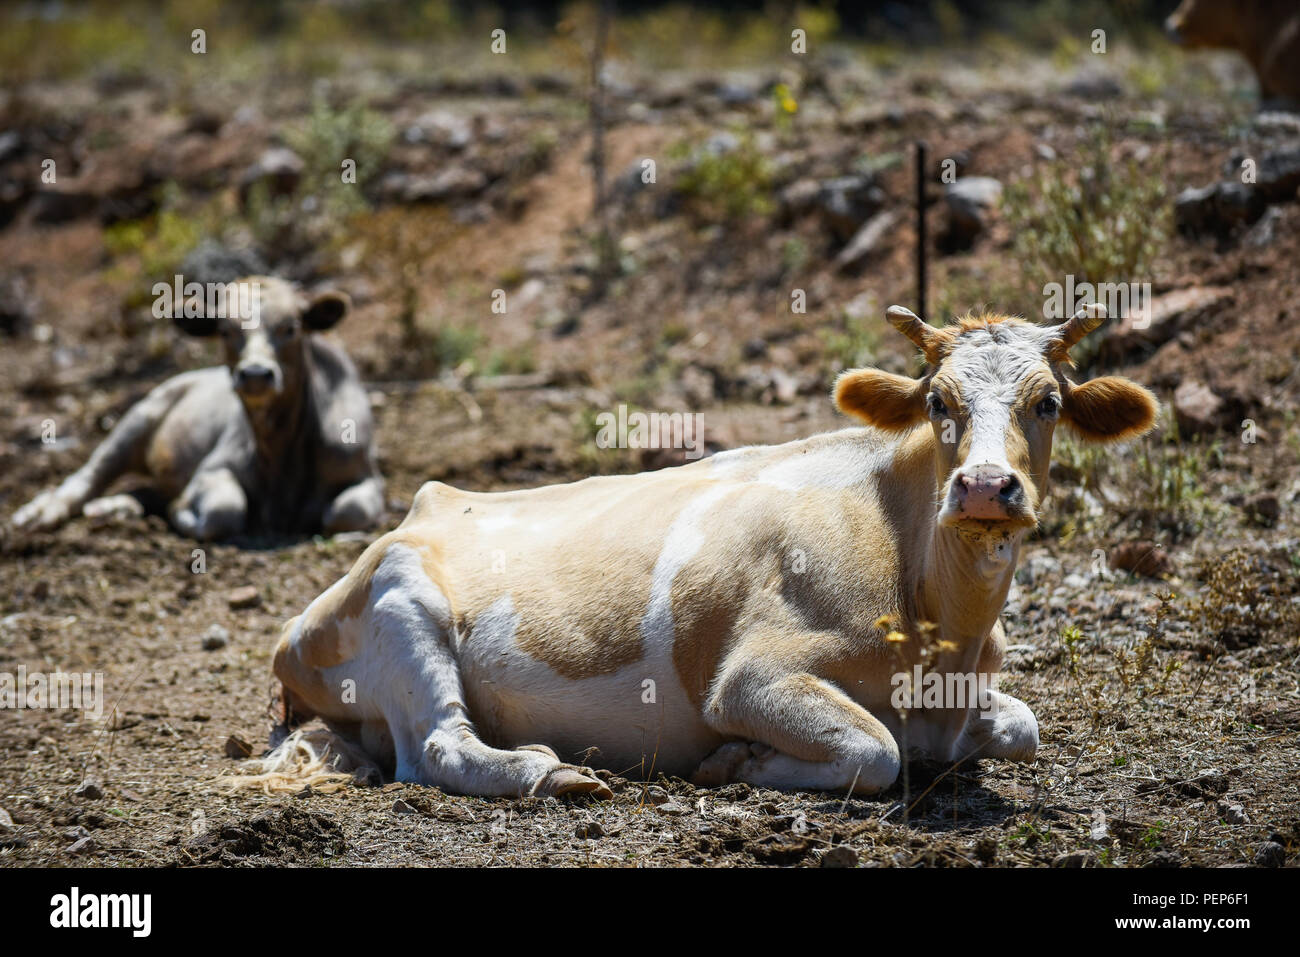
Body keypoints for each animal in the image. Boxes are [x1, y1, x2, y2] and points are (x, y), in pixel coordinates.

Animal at [11, 276, 384, 540]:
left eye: (291, 327)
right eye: (225, 330)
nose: (255, 375)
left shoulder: (366, 475)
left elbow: (347, 511)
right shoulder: (212, 468)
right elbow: (224, 511)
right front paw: (180, 513)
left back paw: (117, 507)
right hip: (138, 418)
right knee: (90, 474)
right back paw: (42, 512)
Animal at [257, 304, 1156, 799]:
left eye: (1049, 402)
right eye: (939, 400)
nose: (983, 486)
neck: (942, 626)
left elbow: (1023, 726)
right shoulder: (752, 677)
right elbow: (875, 750)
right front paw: (737, 762)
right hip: (404, 601)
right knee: (439, 743)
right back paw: (552, 772)